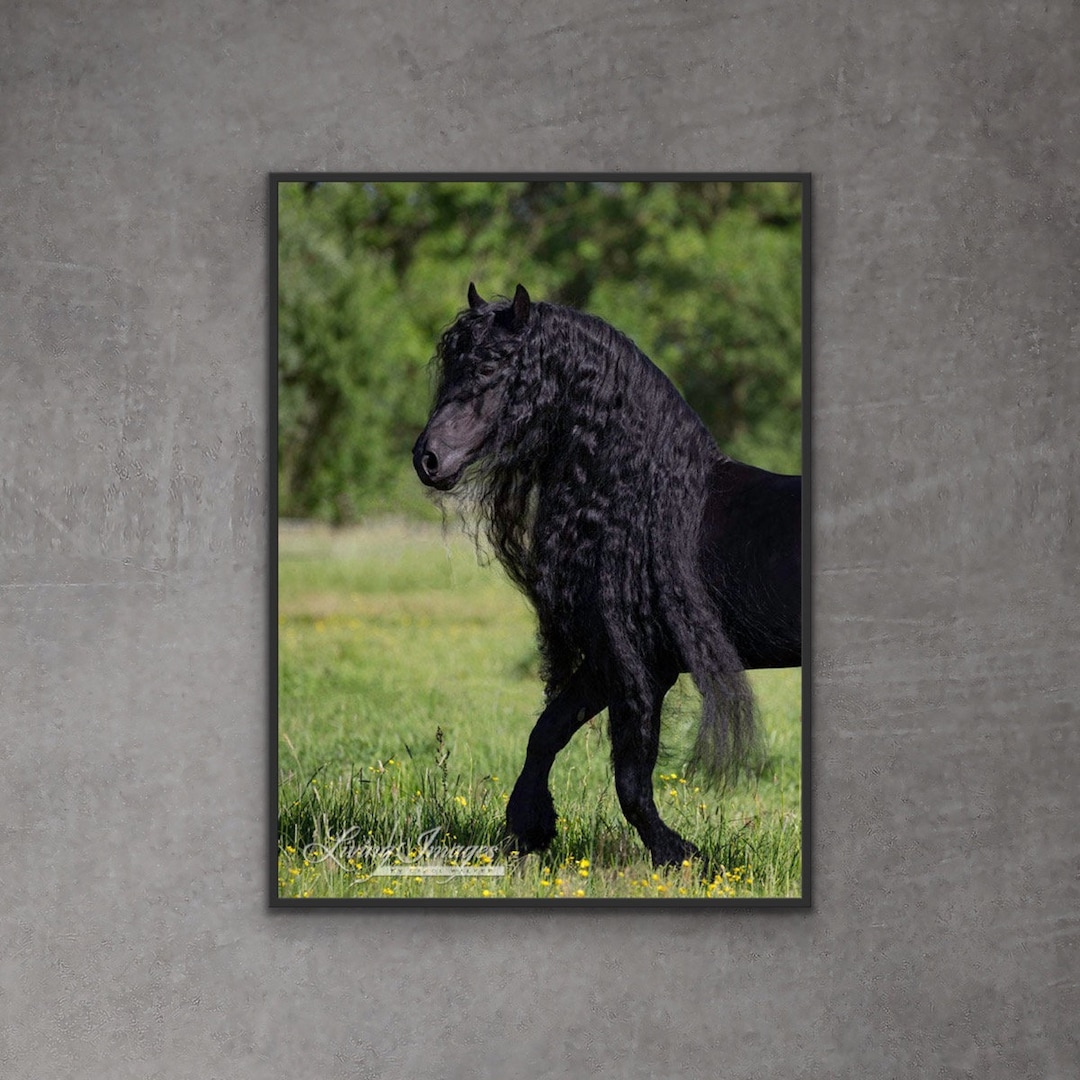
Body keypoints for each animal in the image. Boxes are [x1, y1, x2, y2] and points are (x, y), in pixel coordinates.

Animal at [413, 283, 801, 867]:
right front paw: (530, 829)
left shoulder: (640, 667)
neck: (643, 501)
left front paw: (676, 853)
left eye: (495, 367)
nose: (428, 458)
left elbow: (629, 777)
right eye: (452, 365)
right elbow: (547, 733)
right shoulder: (606, 660)